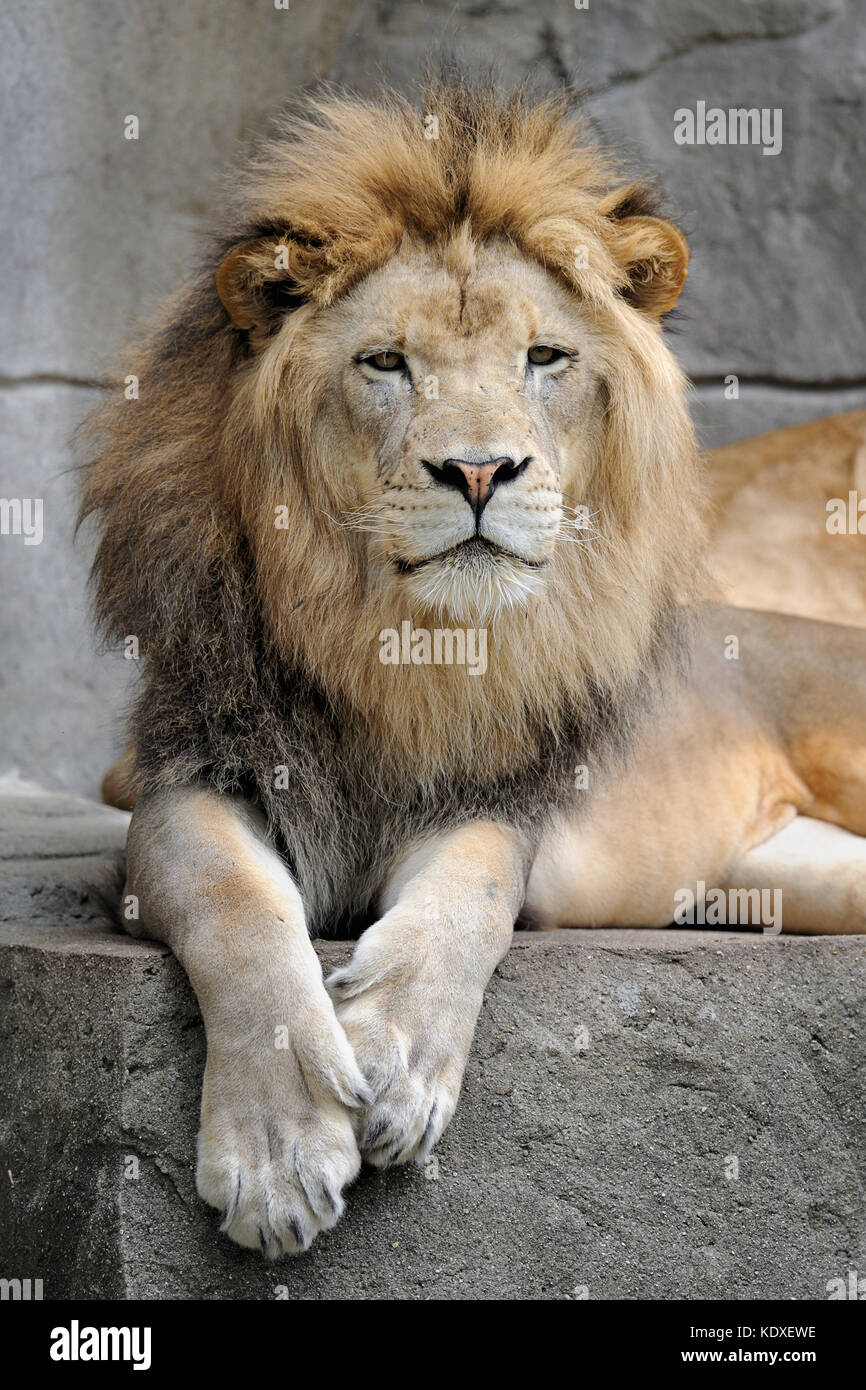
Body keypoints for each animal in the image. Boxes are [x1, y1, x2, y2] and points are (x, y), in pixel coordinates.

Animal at [80, 80, 866, 1259]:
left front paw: (396, 1056)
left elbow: (469, 898)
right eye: (385, 363)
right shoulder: (183, 775)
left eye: (543, 359)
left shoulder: (503, 805)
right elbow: (235, 906)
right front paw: (277, 1151)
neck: (403, 643)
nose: (481, 470)